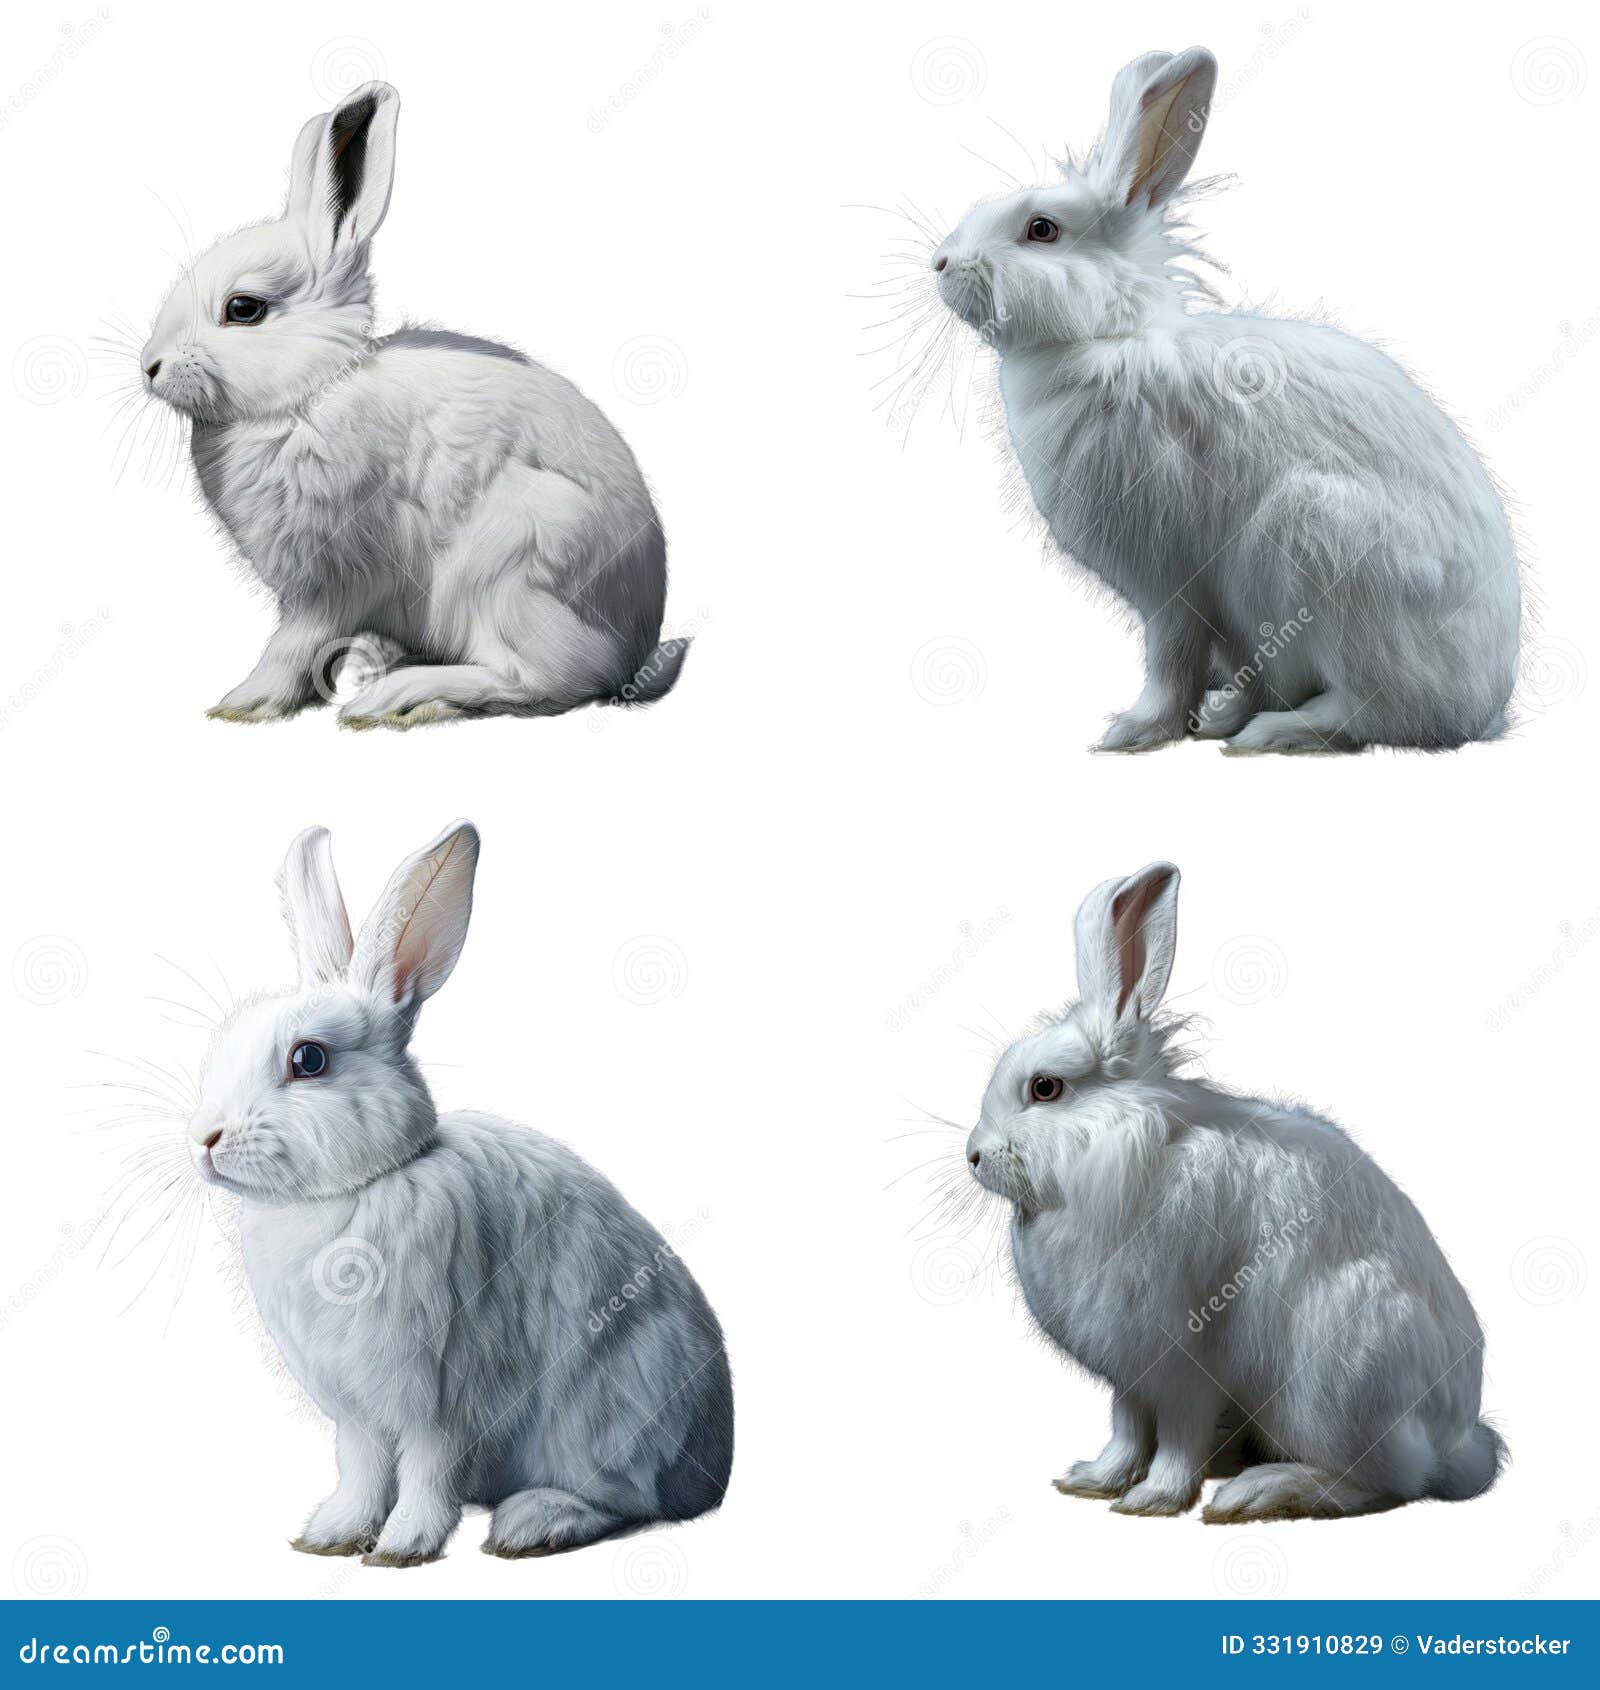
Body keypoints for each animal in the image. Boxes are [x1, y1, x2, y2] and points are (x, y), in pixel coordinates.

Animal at [140, 82, 688, 730]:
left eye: (243, 309)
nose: (149, 366)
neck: (312, 390)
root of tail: (634, 653)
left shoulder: (335, 572)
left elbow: (294, 640)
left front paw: (245, 703)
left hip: (516, 563)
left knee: (543, 681)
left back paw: (397, 698)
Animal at [186, 820, 733, 1564]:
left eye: (309, 1059)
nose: (204, 1139)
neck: (361, 1186)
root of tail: (714, 1472)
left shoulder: (443, 1394)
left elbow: (426, 1468)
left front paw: (401, 1547)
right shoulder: (356, 1411)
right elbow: (360, 1469)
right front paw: (330, 1536)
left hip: (614, 1409)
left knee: (627, 1502)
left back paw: (534, 1523)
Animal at [930, 48, 1520, 755]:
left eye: (1040, 230)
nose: (939, 263)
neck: (1112, 337)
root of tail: (1483, 707)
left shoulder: (1169, 580)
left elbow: (1170, 660)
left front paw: (1131, 733)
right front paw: (1188, 721)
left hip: (1318, 543)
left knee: (1373, 712)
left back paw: (1268, 734)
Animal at [962, 861, 1504, 1521]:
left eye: (1045, 1088)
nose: (973, 1156)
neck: (1128, 1140)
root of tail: (1455, 1444)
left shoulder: (1181, 1356)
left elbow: (1176, 1432)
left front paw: (1153, 1498)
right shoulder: (1130, 1370)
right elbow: (1126, 1426)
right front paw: (1095, 1478)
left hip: (1332, 1379)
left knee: (1377, 1482)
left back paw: (1259, 1490)